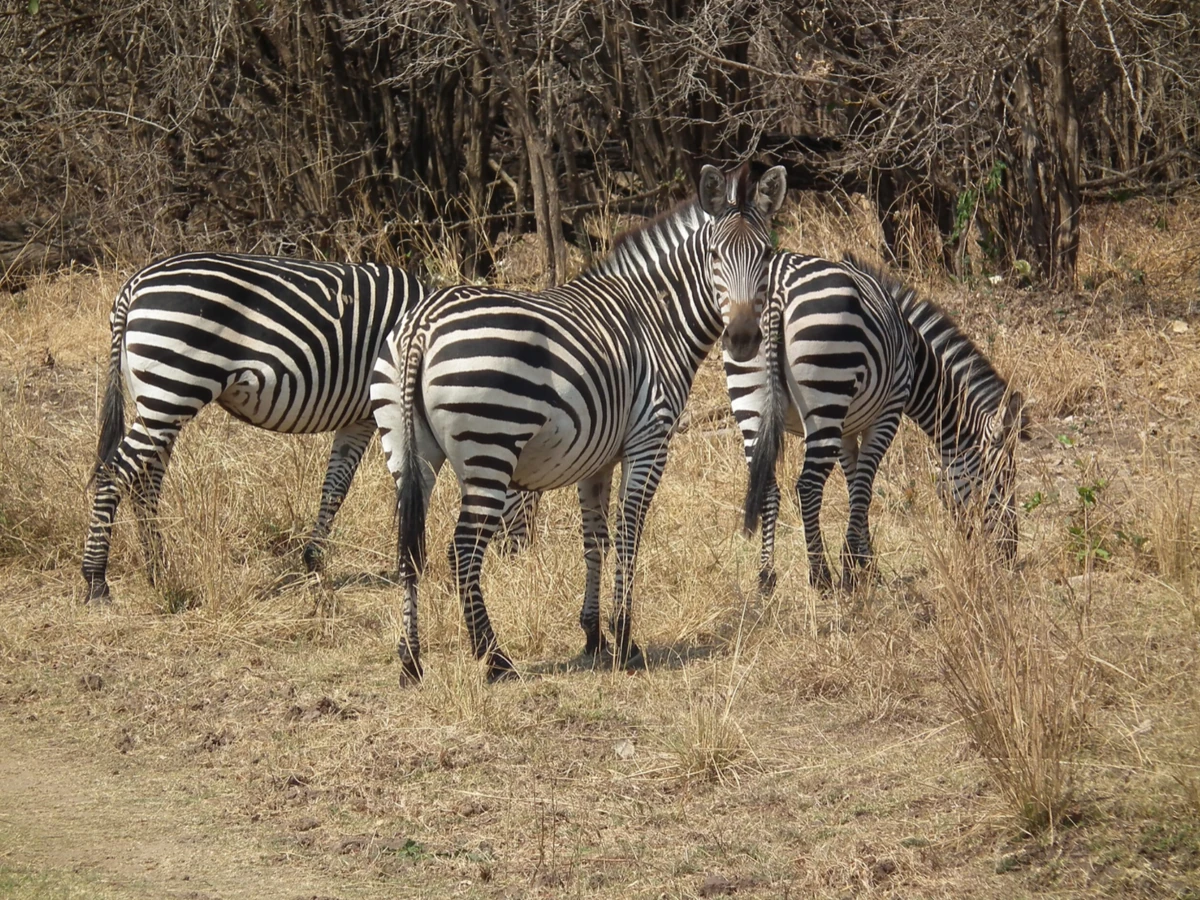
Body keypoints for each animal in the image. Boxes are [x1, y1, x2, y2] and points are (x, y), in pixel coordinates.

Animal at [82, 251, 436, 603]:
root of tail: (133, 285)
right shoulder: (386, 411)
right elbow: (412, 480)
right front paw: (412, 560)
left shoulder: (358, 419)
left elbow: (336, 487)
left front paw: (314, 562)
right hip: (172, 389)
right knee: (114, 471)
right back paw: (96, 580)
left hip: (158, 399)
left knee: (144, 482)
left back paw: (159, 571)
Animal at [370, 164, 788, 682]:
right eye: (713, 257)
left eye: (765, 255)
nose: (745, 338)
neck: (657, 320)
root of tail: (422, 323)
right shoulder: (649, 441)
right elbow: (628, 534)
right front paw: (625, 640)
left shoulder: (597, 459)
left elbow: (596, 540)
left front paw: (594, 635)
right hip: (490, 446)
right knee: (462, 549)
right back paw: (494, 656)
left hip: (408, 451)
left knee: (410, 549)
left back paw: (411, 661)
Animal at [731, 253, 1028, 593]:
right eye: (1002, 482)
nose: (1009, 555)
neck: (916, 358)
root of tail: (778, 287)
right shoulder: (888, 413)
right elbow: (864, 490)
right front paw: (853, 567)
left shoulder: (848, 428)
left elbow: (854, 487)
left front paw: (867, 564)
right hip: (826, 392)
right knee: (808, 486)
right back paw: (821, 576)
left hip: (750, 392)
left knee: (767, 485)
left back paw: (766, 576)